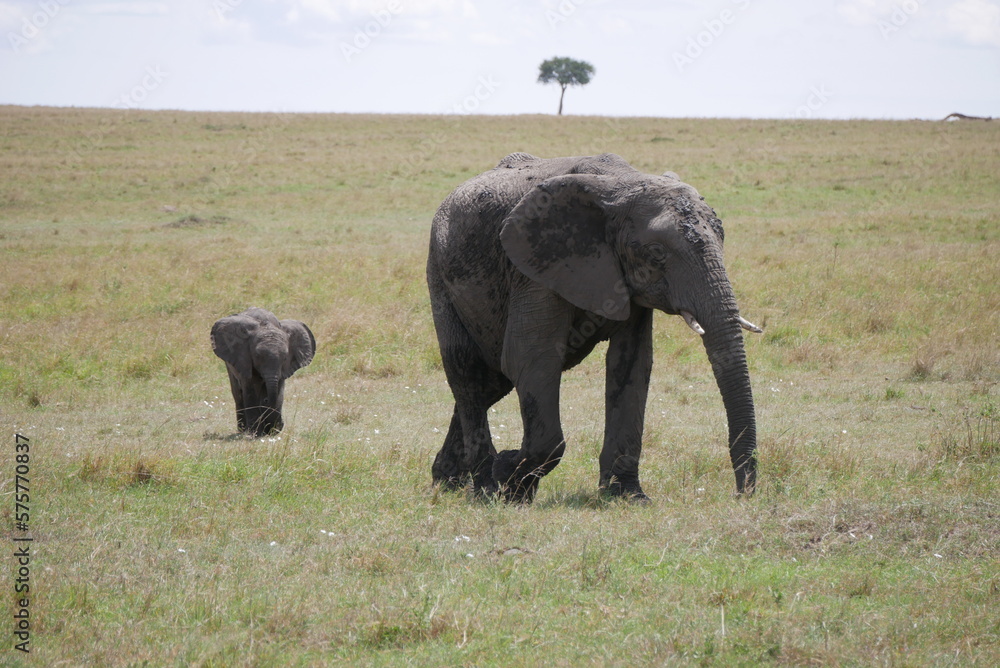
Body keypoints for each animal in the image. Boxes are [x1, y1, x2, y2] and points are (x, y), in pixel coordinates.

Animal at [211, 307, 316, 437]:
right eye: (257, 356)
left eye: (285, 358)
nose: (265, 400)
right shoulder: (244, 359)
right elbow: (250, 389)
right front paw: (256, 433)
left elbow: (279, 391)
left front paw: (272, 431)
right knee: (238, 393)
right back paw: (243, 430)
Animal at [426, 152, 762, 503]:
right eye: (657, 253)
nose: (741, 495)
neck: (621, 186)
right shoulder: (536, 266)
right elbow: (530, 359)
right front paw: (509, 478)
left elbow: (631, 364)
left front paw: (627, 497)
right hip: (440, 272)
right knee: (468, 372)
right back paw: (484, 487)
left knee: (491, 383)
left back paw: (447, 481)